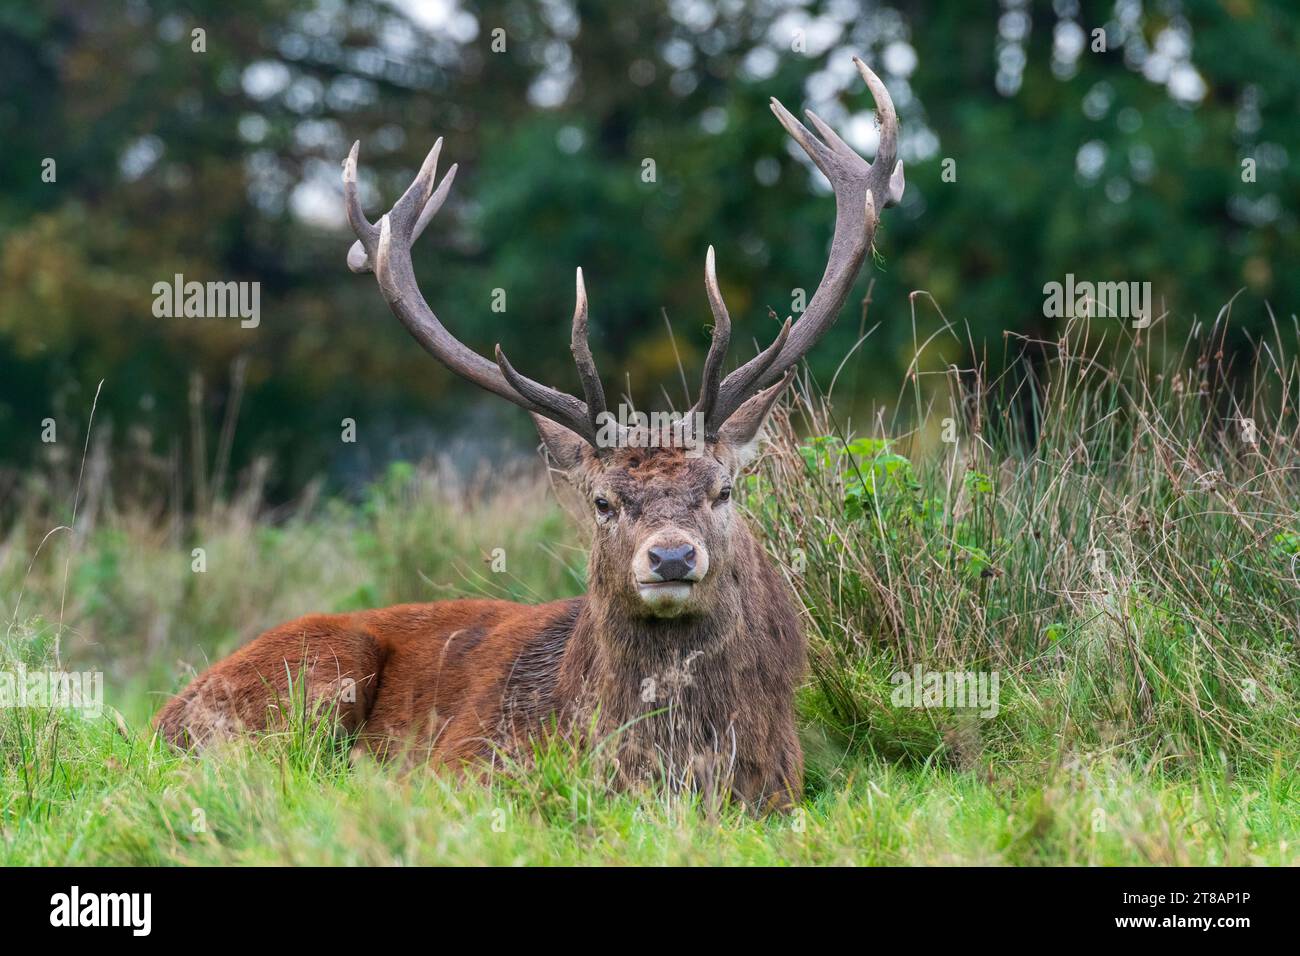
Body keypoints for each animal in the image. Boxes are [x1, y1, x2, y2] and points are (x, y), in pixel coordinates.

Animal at [154, 57, 903, 810]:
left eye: (724, 491)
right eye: (603, 502)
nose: (670, 557)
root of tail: (161, 719)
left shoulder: (782, 790)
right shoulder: (462, 764)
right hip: (310, 673)